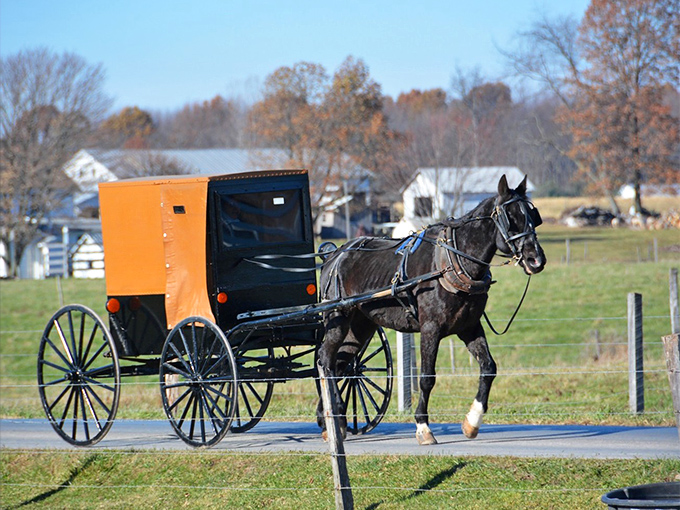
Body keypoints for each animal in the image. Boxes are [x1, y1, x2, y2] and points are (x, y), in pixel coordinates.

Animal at [316, 174, 546, 445]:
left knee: (338, 363)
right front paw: (423, 427)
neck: (453, 261)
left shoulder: (469, 327)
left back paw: (329, 419)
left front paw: (472, 422)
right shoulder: (430, 328)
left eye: (533, 216)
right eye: (510, 217)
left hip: (360, 327)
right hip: (338, 318)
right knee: (326, 359)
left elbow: (489, 368)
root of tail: (334, 255)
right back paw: (335, 419)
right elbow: (427, 378)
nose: (536, 260)